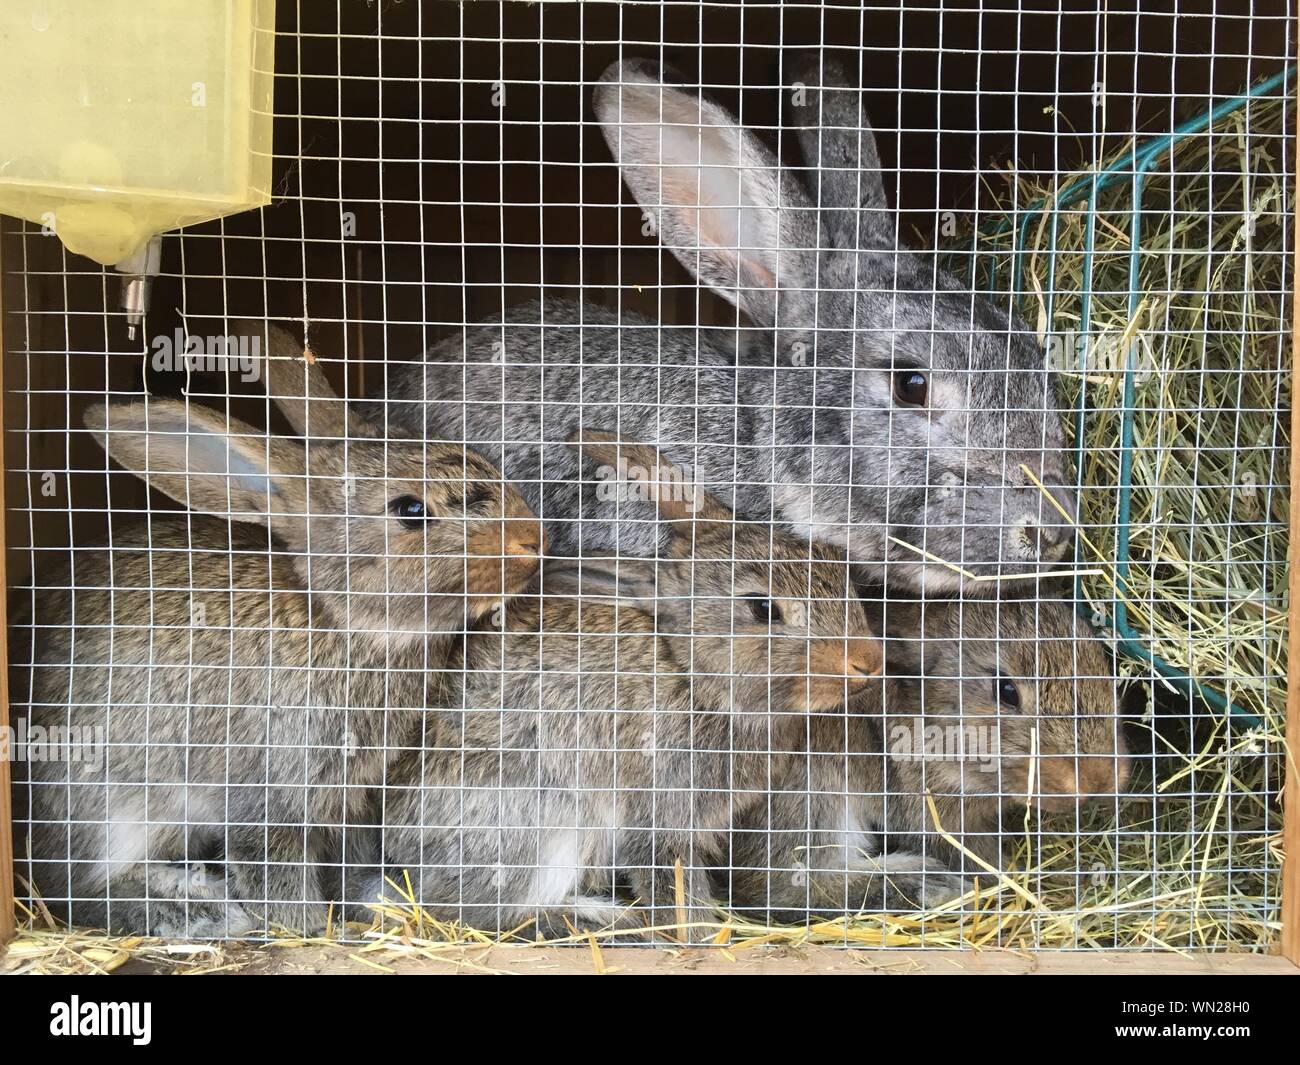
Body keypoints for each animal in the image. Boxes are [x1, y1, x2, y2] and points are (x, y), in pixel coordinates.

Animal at [8, 321, 545, 937]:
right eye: (410, 510)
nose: (532, 541)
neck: (343, 619)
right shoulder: (271, 787)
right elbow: (272, 862)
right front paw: (311, 929)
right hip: (108, 808)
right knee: (76, 888)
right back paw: (193, 909)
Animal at [357, 432, 883, 941]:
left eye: (836, 564)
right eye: (762, 608)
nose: (868, 662)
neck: (694, 676)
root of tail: (403, 860)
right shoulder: (661, 812)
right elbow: (671, 883)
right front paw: (700, 937)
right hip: (548, 824)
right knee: (488, 913)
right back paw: (606, 920)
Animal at [713, 592, 1132, 923]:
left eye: (1099, 662)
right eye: (1006, 690)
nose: (1097, 780)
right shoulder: (935, 820)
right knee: (782, 885)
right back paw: (927, 883)